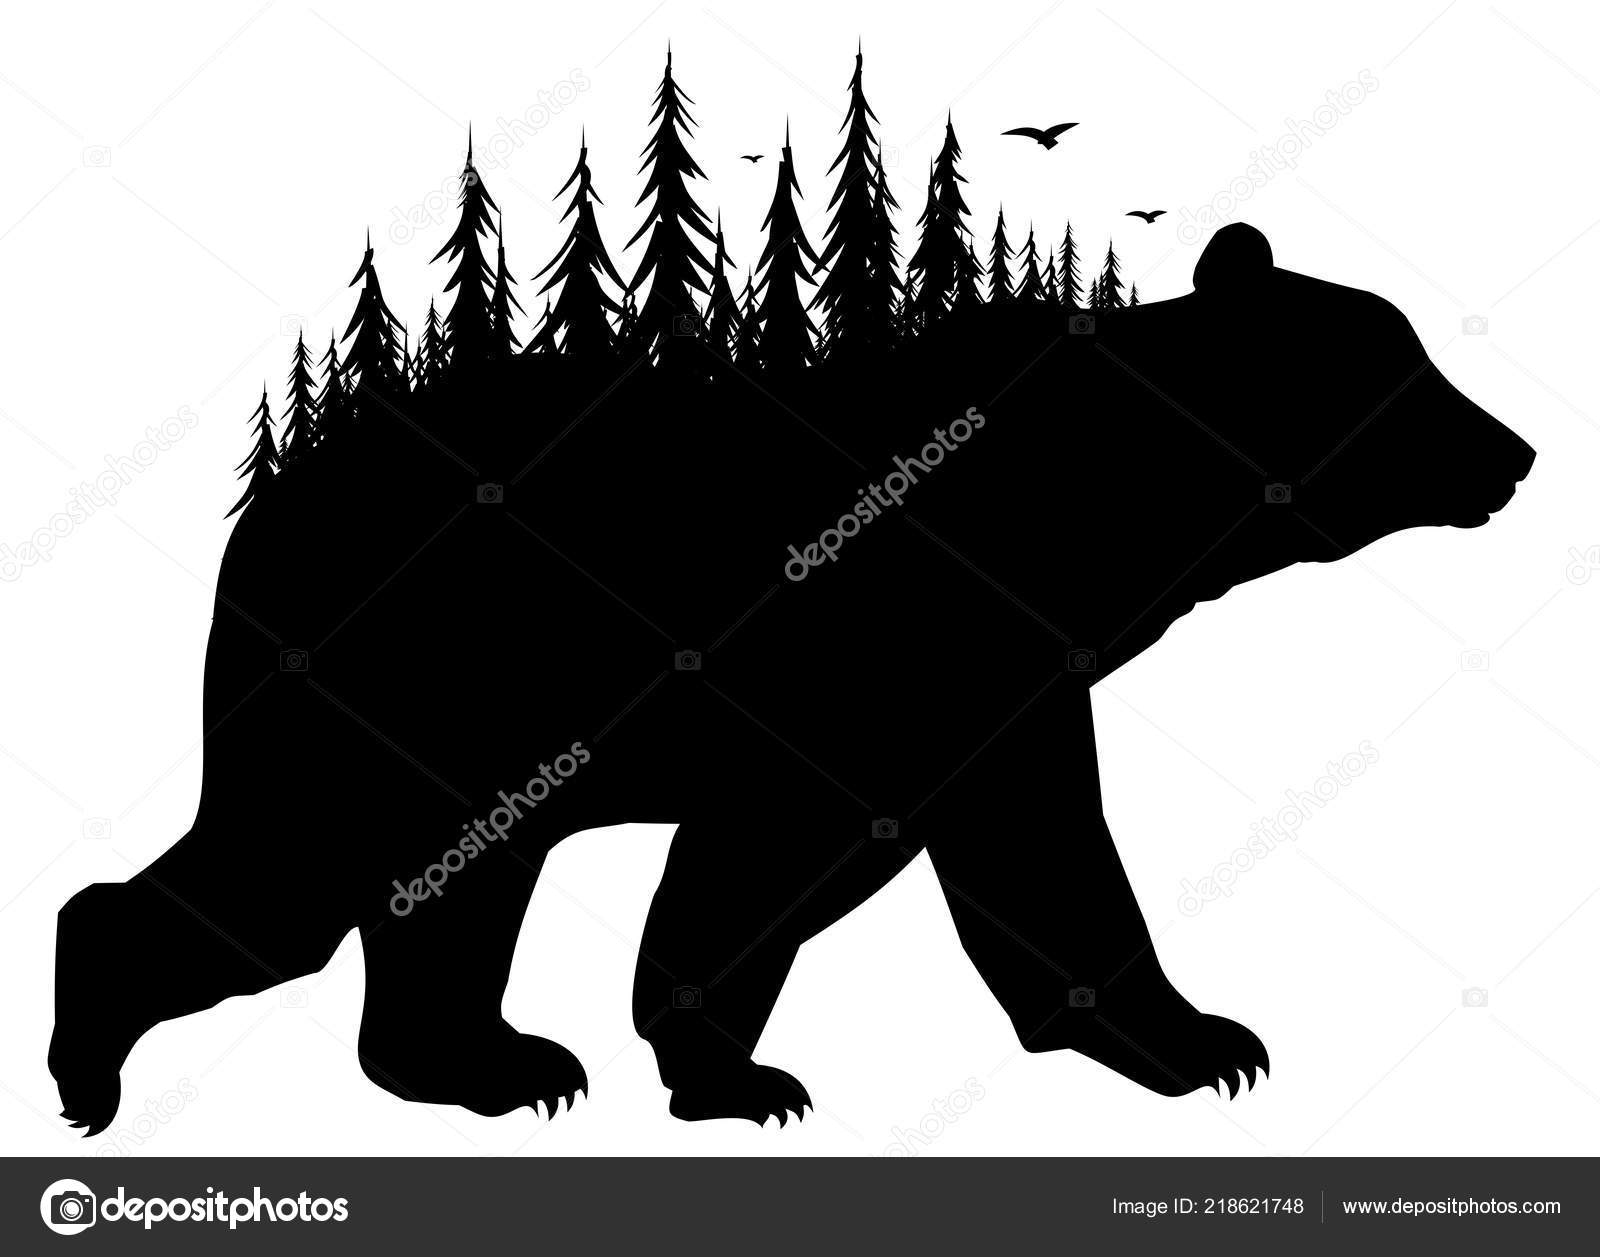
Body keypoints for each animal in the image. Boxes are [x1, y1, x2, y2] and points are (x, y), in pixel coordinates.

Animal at [50, 224, 1534, 1132]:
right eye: (1401, 370)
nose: (1514, 451)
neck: (1089, 519)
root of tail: (269, 509)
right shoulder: (862, 654)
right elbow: (780, 846)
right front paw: (734, 1069)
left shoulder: (1016, 674)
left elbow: (1040, 844)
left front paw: (1200, 1038)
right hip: (402, 679)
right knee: (292, 866)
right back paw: (90, 1056)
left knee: (437, 887)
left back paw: (490, 1063)